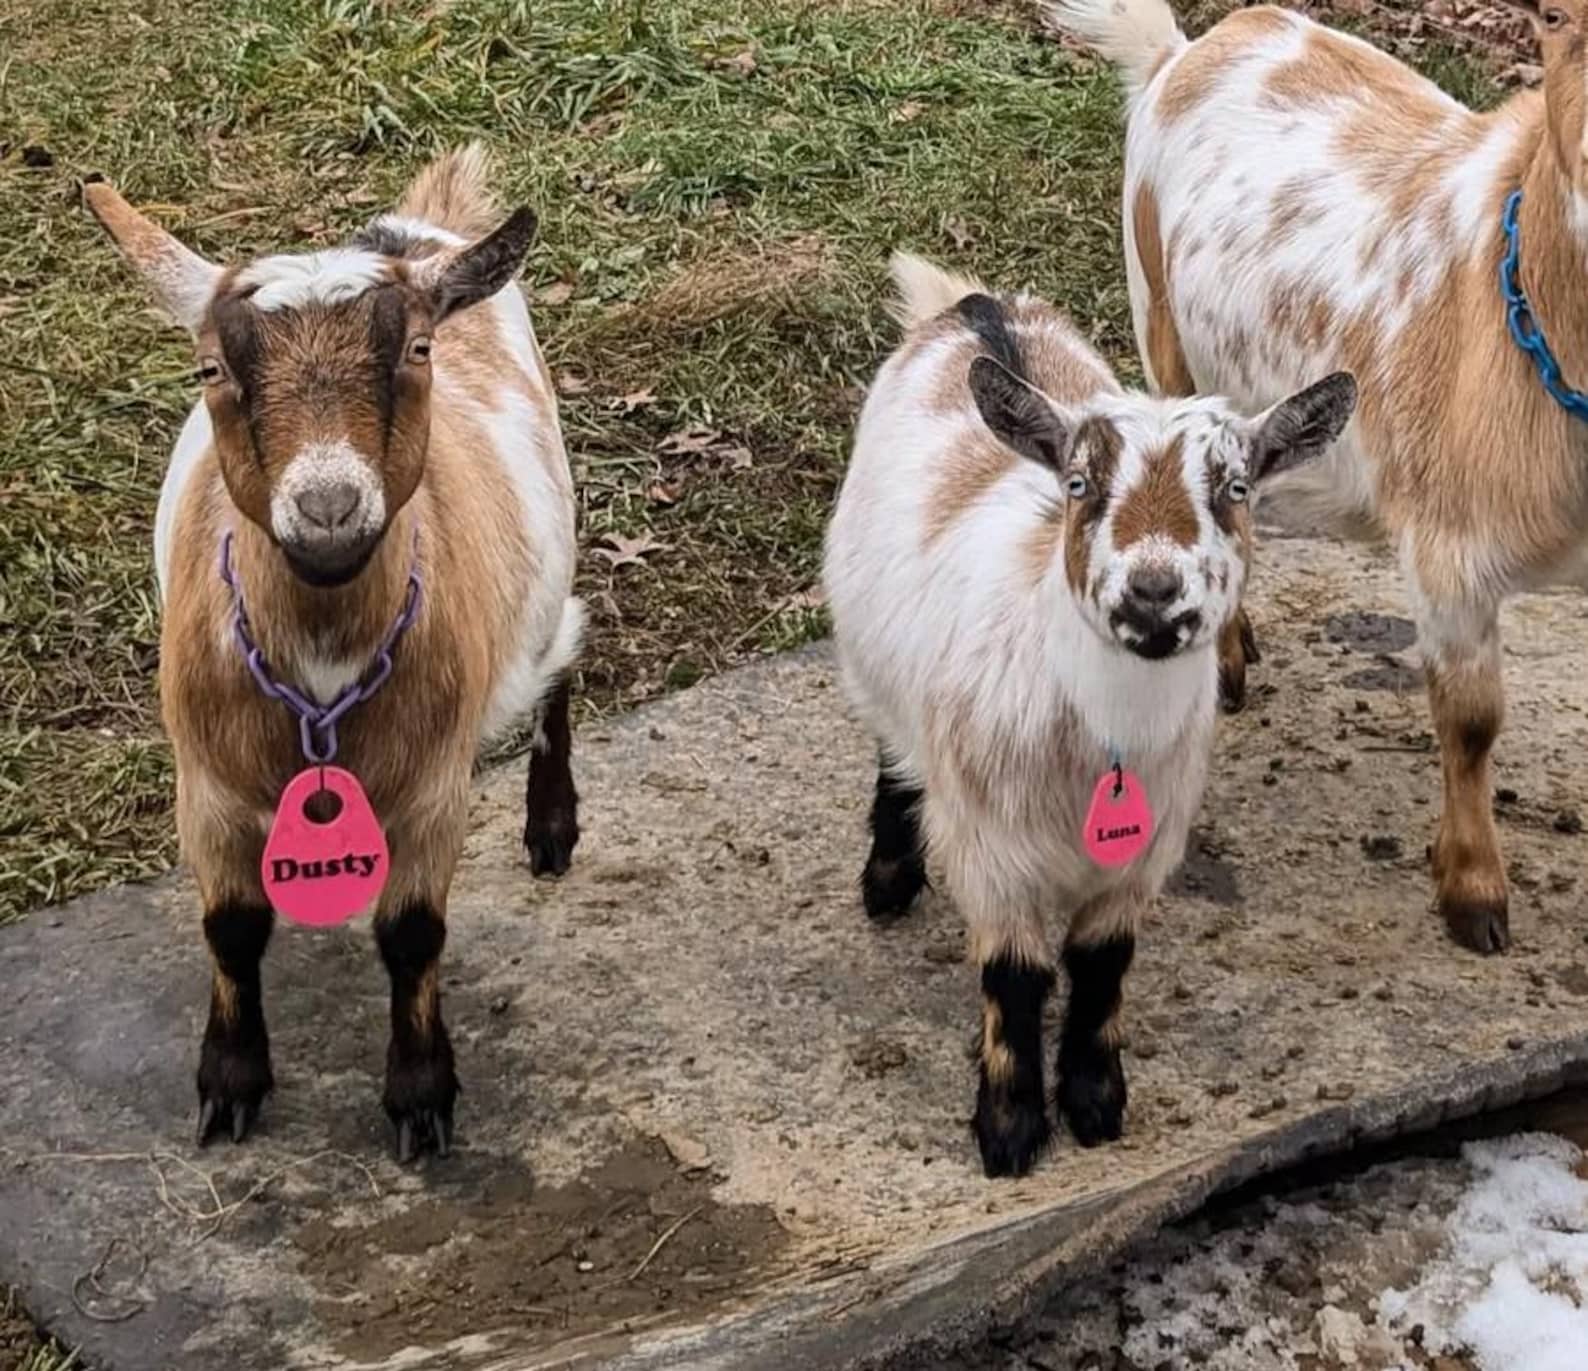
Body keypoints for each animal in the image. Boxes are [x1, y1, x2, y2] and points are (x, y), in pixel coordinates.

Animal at [85, 144, 583, 1160]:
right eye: (211, 366)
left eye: (417, 351)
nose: (327, 511)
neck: (319, 675)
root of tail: (417, 224)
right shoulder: (206, 782)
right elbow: (232, 927)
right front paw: (230, 1082)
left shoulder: (434, 783)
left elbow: (414, 933)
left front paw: (420, 1098)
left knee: (564, 651)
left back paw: (551, 823)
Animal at [823, 253, 1354, 1176]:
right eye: (1078, 485)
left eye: (1237, 488)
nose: (1152, 593)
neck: (1101, 745)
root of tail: (975, 308)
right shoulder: (993, 851)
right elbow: (1015, 978)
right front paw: (1008, 1127)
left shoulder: (1141, 857)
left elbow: (1101, 967)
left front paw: (1096, 1100)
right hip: (872, 661)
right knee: (894, 751)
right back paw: (888, 877)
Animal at [1053, 0, 1588, 955]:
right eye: (1558, 21)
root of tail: (1189, 49)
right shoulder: (1448, 553)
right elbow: (1472, 720)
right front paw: (1474, 892)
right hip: (1160, 321)